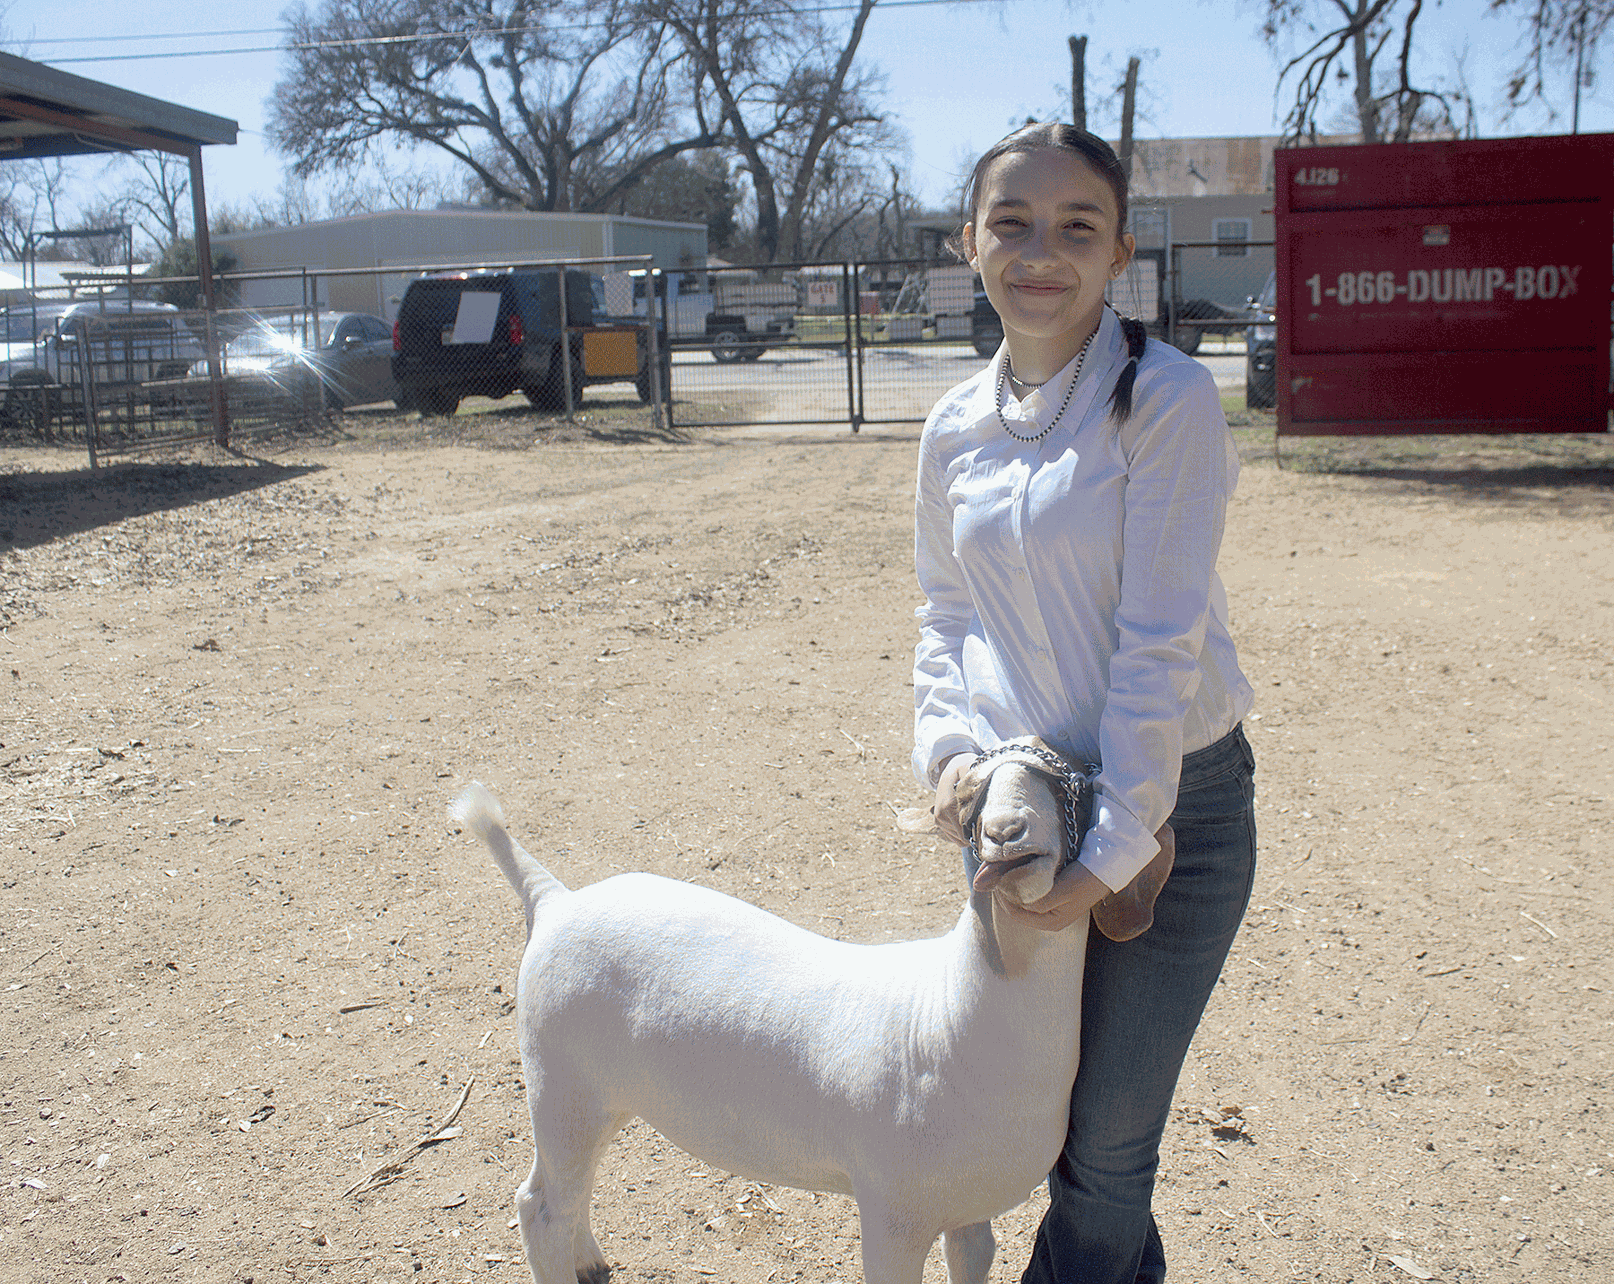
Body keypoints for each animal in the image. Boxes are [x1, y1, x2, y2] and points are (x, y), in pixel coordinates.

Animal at [452, 743, 1097, 1284]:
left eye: (1073, 788)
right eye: (970, 795)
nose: (1007, 833)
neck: (947, 1012)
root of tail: (554, 902)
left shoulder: (966, 1210)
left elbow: (972, 1260)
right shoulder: (892, 1207)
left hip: (600, 1095)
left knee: (569, 1190)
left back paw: (588, 1262)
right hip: (560, 1082)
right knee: (540, 1207)